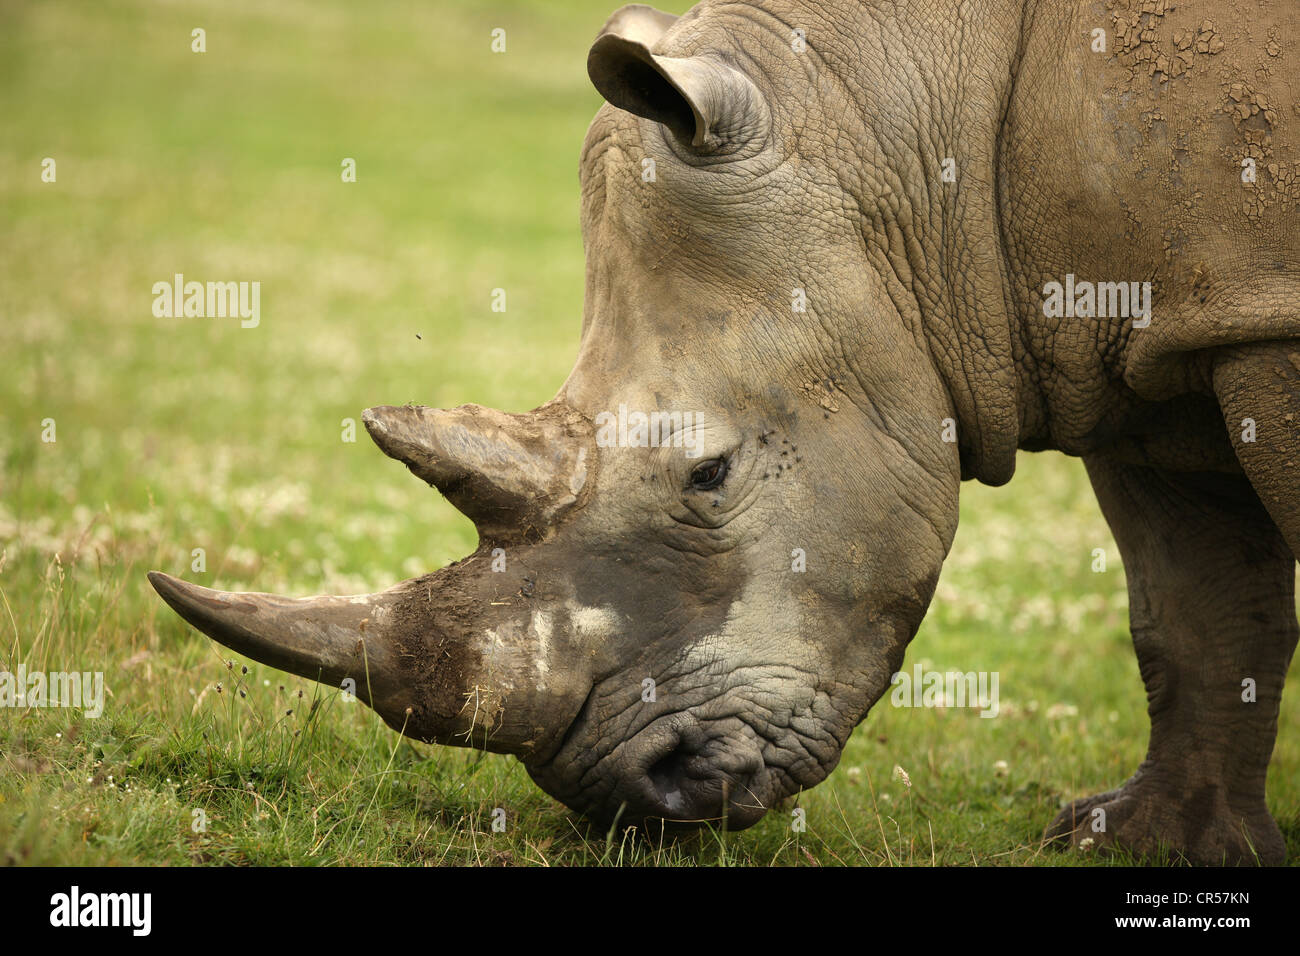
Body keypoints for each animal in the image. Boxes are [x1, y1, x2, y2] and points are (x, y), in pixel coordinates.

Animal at [149, 0, 1300, 864]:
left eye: (707, 473)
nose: (632, 796)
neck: (910, 146)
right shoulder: (1139, 337)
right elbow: (1193, 613)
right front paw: (1150, 845)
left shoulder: (1257, 313)